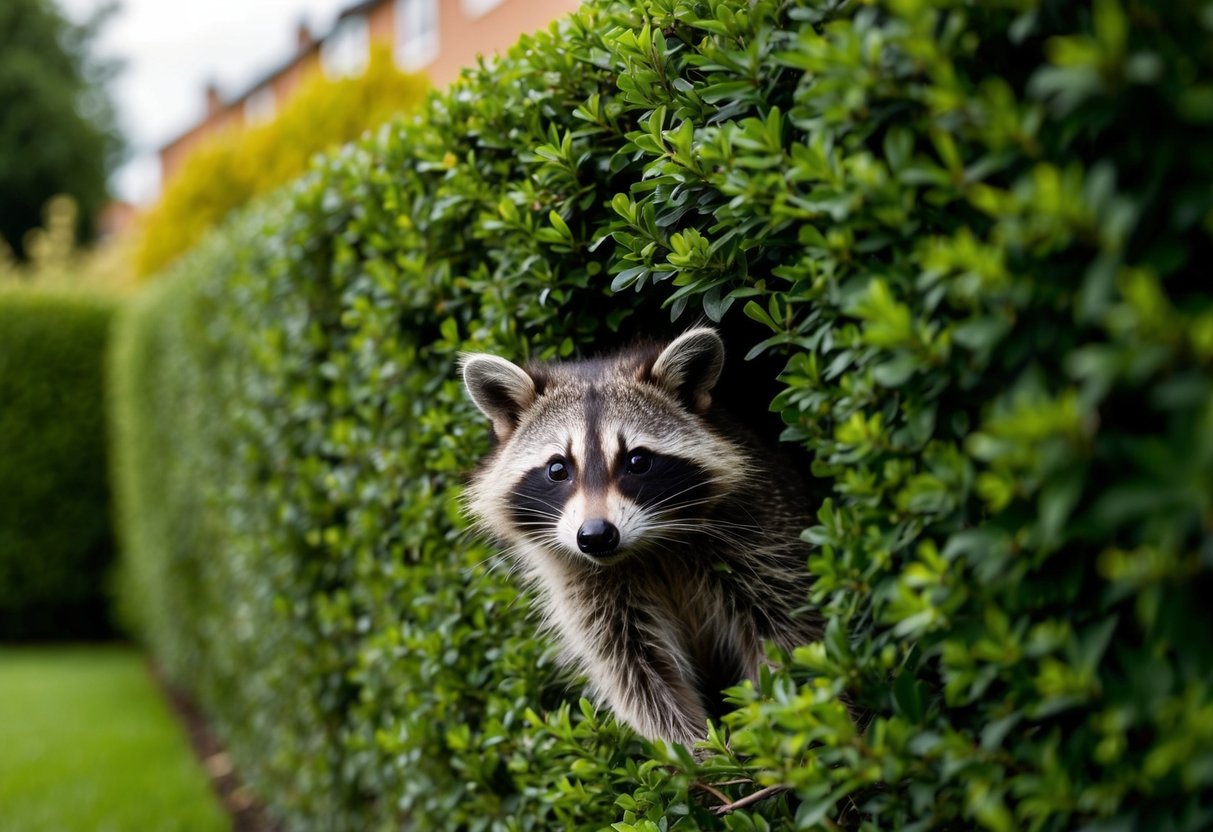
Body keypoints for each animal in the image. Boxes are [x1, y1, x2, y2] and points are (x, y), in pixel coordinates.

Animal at [461, 328, 820, 745]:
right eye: (557, 469)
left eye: (637, 461)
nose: (596, 536)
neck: (648, 548)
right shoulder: (586, 591)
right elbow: (638, 676)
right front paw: (695, 750)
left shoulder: (758, 535)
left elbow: (785, 633)